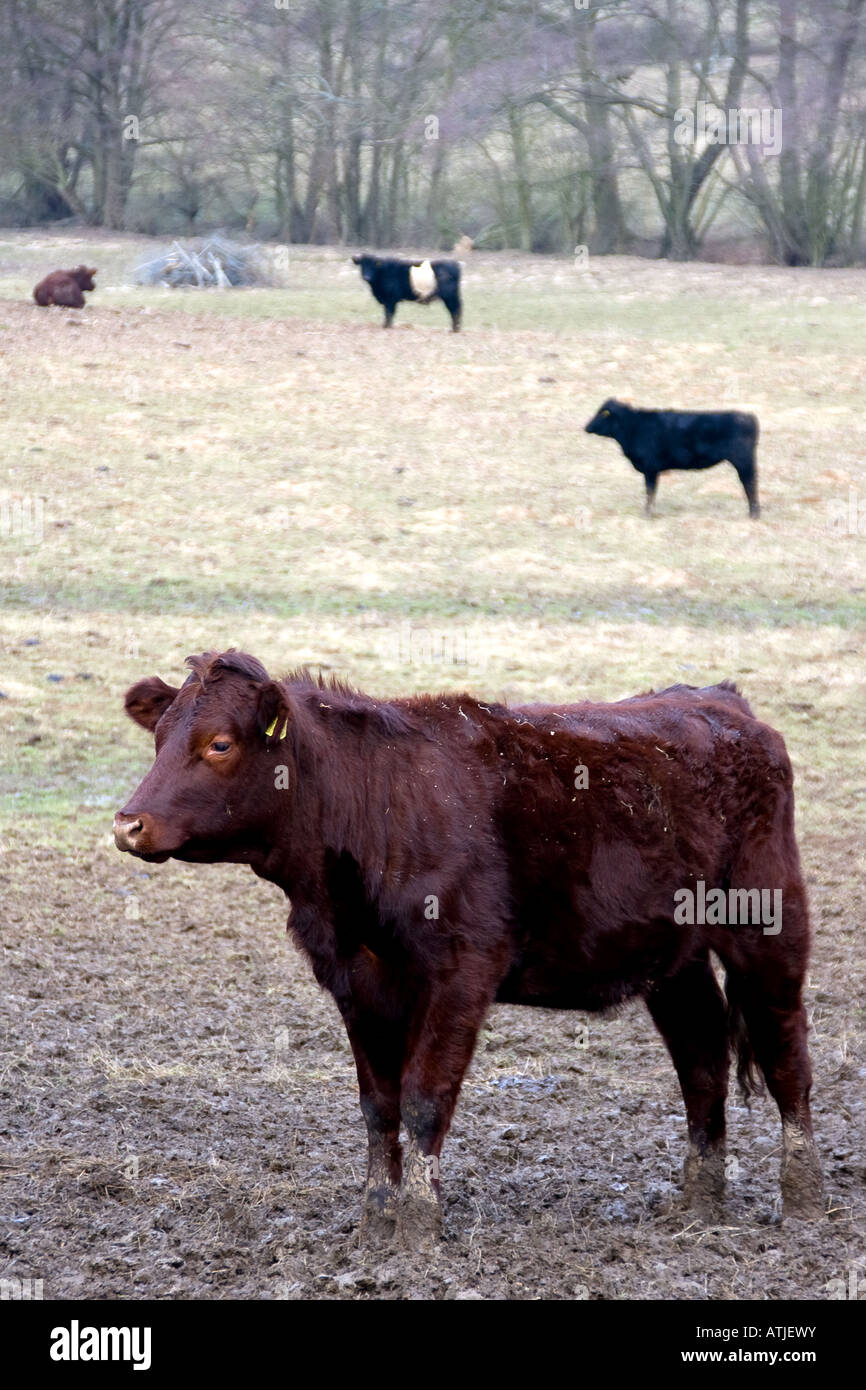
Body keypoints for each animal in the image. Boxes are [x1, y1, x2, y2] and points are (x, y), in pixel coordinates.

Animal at [114, 650, 822, 1245]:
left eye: (220, 743)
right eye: (159, 737)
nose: (128, 824)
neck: (374, 806)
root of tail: (724, 703)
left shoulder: (461, 971)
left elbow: (426, 1098)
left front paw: (419, 1228)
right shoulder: (354, 975)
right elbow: (379, 1104)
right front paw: (374, 1221)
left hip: (769, 923)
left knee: (785, 1052)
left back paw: (803, 1198)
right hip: (672, 956)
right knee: (701, 1057)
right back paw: (699, 1201)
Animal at [585, 399, 760, 518]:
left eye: (602, 414)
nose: (586, 427)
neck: (634, 427)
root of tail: (748, 416)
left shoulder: (650, 468)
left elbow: (650, 492)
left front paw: (647, 514)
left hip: (743, 461)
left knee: (749, 484)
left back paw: (753, 514)